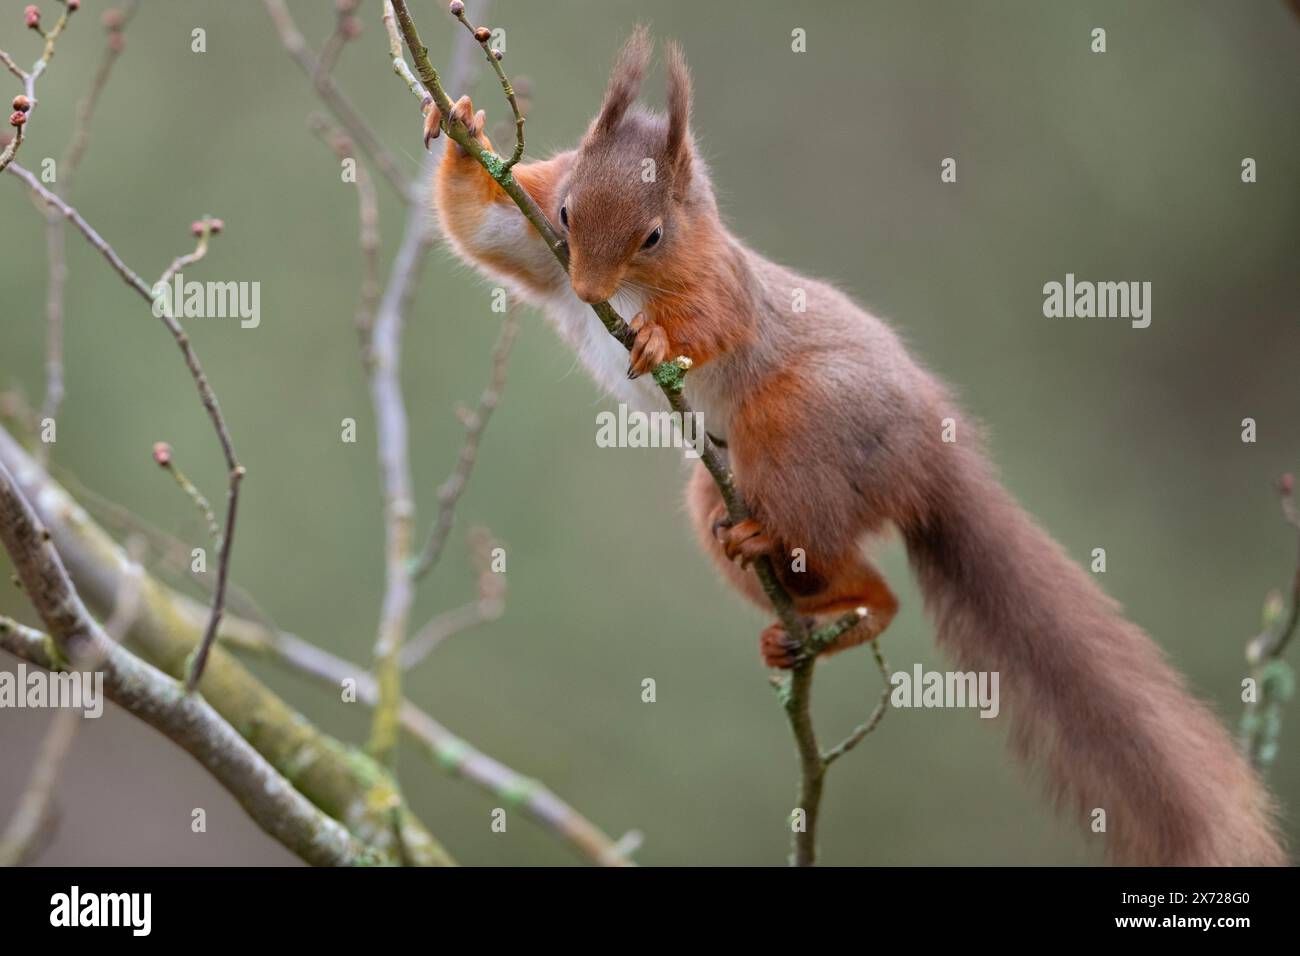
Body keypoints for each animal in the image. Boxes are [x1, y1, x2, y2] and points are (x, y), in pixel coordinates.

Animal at [430, 26, 1285, 866]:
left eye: (653, 235)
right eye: (568, 211)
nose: (590, 293)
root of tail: (934, 458)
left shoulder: (724, 281)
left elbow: (714, 321)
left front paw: (656, 338)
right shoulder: (535, 232)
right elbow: (481, 227)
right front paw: (461, 122)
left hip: (803, 421)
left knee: (847, 552)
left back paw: (815, 575)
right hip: (719, 487)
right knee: (831, 568)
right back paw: (822, 618)